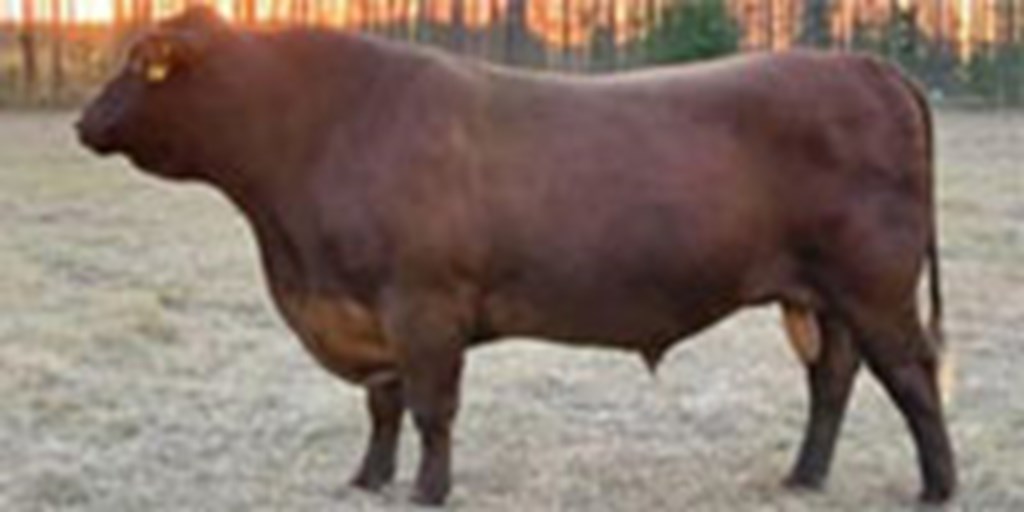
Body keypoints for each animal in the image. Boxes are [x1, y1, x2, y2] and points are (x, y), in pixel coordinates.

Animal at [77, 6, 955, 506]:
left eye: (139, 64)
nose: (83, 121)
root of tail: (863, 65)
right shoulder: (367, 312)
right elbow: (383, 407)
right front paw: (366, 481)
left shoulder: (422, 304)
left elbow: (431, 409)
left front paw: (427, 493)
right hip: (821, 295)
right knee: (833, 377)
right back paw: (804, 477)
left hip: (876, 287)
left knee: (912, 376)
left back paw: (936, 488)